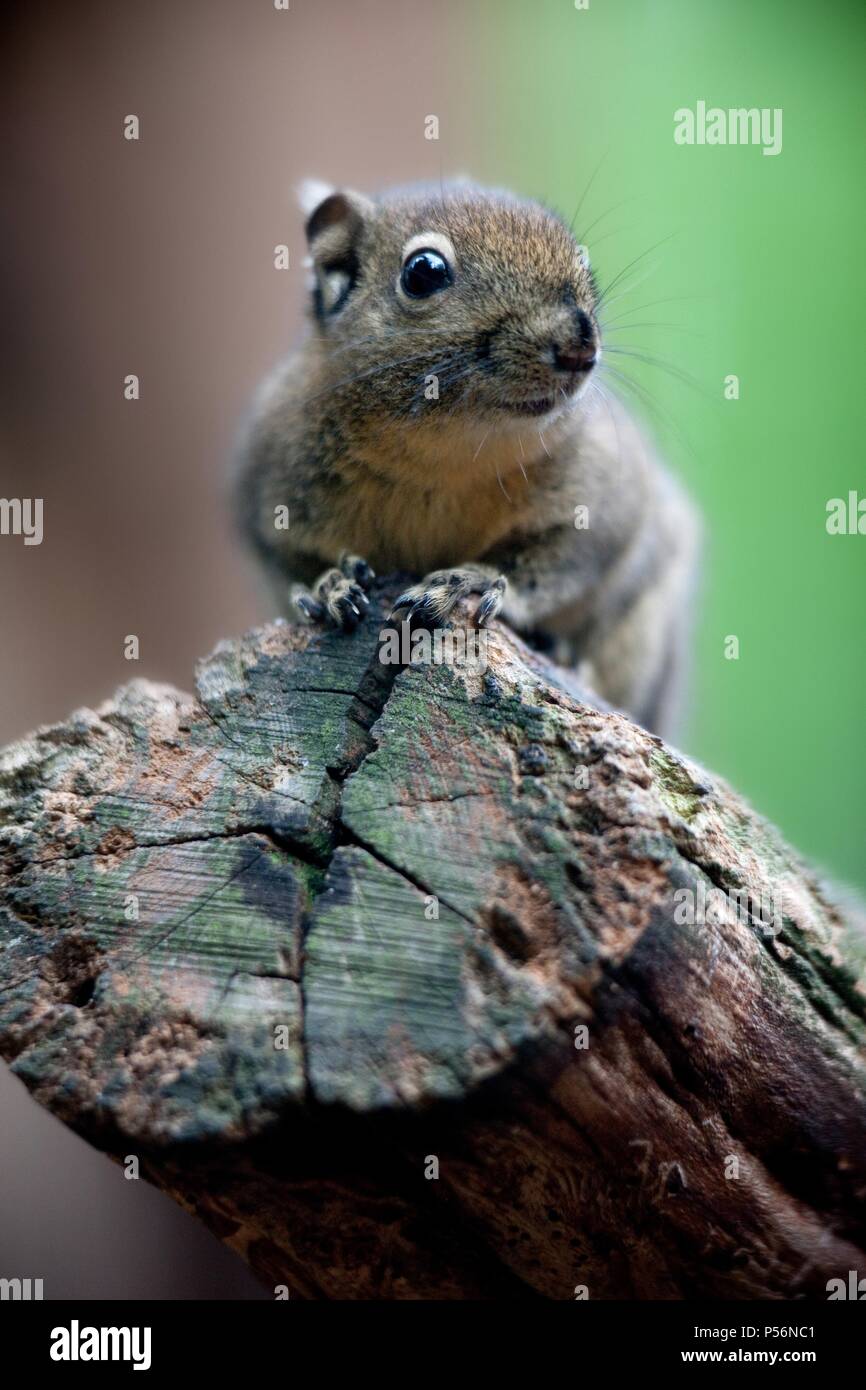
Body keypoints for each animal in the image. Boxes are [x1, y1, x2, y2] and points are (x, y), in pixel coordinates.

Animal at [236, 179, 699, 737]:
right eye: (422, 271)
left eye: (584, 261)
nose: (580, 348)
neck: (438, 455)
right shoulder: (271, 494)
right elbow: (290, 561)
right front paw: (331, 586)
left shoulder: (605, 495)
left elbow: (564, 561)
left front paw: (467, 582)